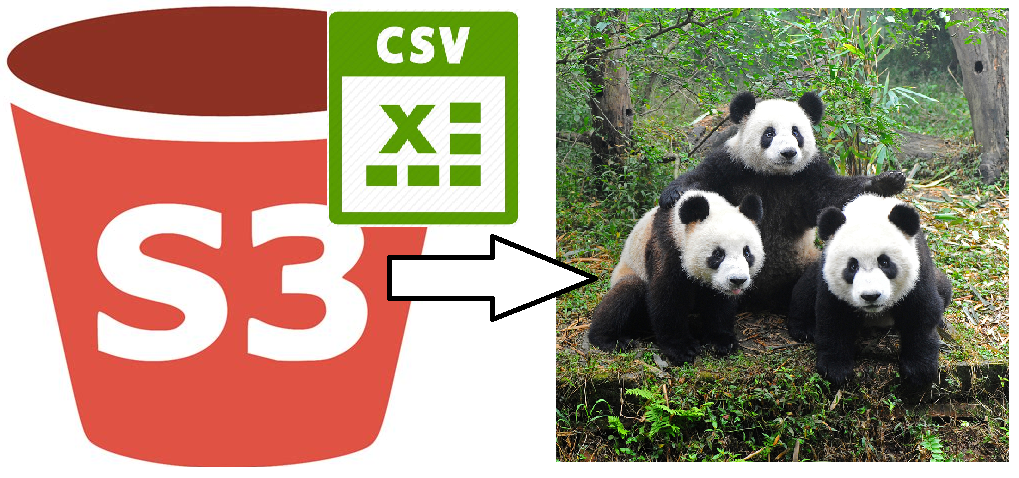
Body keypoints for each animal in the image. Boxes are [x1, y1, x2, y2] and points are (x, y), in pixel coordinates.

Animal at [588, 190, 765, 365]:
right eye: (718, 254)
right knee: (626, 293)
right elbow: (667, 298)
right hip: (630, 272)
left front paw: (721, 341)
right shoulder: (667, 247)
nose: (738, 280)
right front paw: (683, 349)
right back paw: (610, 339)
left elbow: (719, 303)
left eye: (747, 252)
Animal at [658, 92, 906, 313]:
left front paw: (886, 182)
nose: (788, 153)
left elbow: (834, 194)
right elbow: (702, 178)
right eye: (769, 133)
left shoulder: (808, 175)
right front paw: (673, 194)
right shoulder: (731, 166)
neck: (774, 175)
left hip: (804, 260)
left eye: (796, 132)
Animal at [786, 194, 953, 388]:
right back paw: (804, 329)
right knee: (805, 290)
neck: (870, 209)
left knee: (944, 289)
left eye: (885, 262)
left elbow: (921, 314)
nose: (870, 296)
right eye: (852, 266)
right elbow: (833, 318)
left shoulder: (919, 270)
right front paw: (835, 369)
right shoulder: (829, 280)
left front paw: (919, 371)